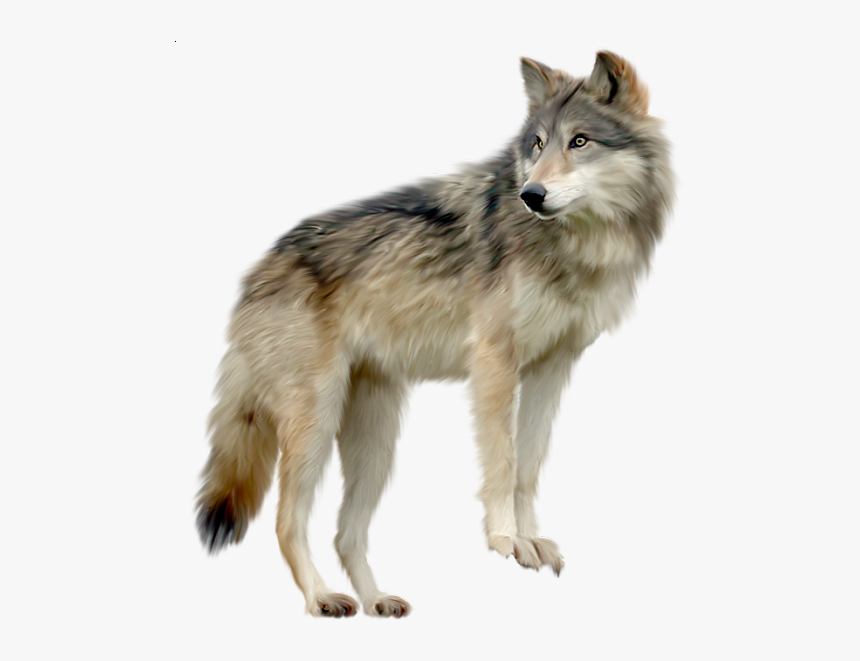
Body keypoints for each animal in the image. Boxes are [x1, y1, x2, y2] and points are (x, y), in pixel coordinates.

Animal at [196, 51, 674, 617]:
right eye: (537, 144)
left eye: (579, 141)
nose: (531, 194)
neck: (577, 244)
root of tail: (259, 270)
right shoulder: (494, 361)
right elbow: (502, 461)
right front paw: (506, 540)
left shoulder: (551, 367)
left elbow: (527, 466)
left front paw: (531, 540)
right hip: (315, 422)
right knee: (287, 521)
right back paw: (322, 599)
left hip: (376, 442)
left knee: (345, 534)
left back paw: (377, 600)